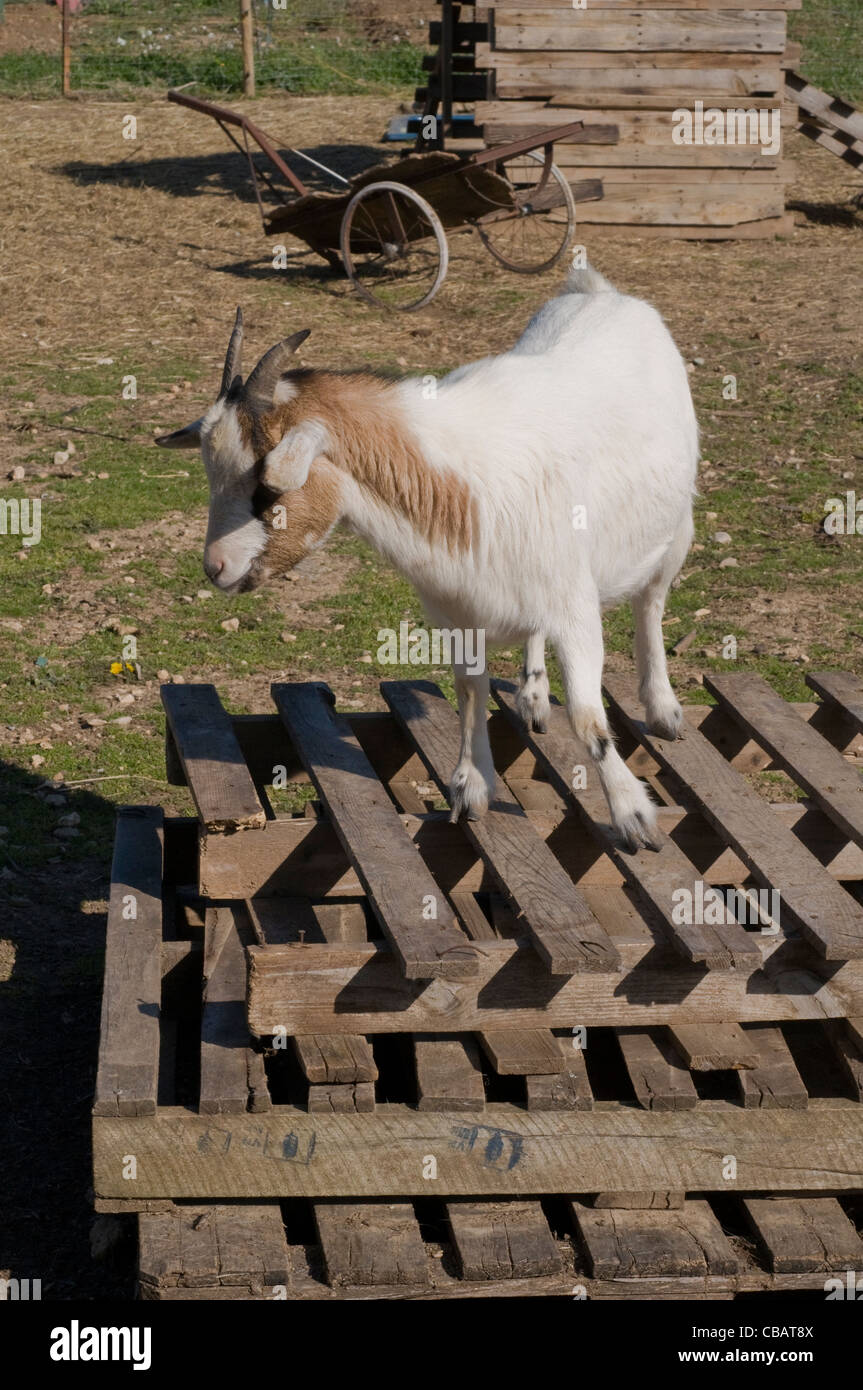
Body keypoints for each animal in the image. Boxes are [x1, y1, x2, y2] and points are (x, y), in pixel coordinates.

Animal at [157, 266, 698, 850]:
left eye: (264, 489)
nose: (215, 568)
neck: (461, 488)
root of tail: (600, 293)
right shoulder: (462, 612)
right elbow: (469, 691)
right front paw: (471, 787)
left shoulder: (575, 605)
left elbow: (587, 719)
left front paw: (632, 815)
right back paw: (533, 695)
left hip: (676, 528)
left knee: (651, 604)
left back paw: (662, 708)